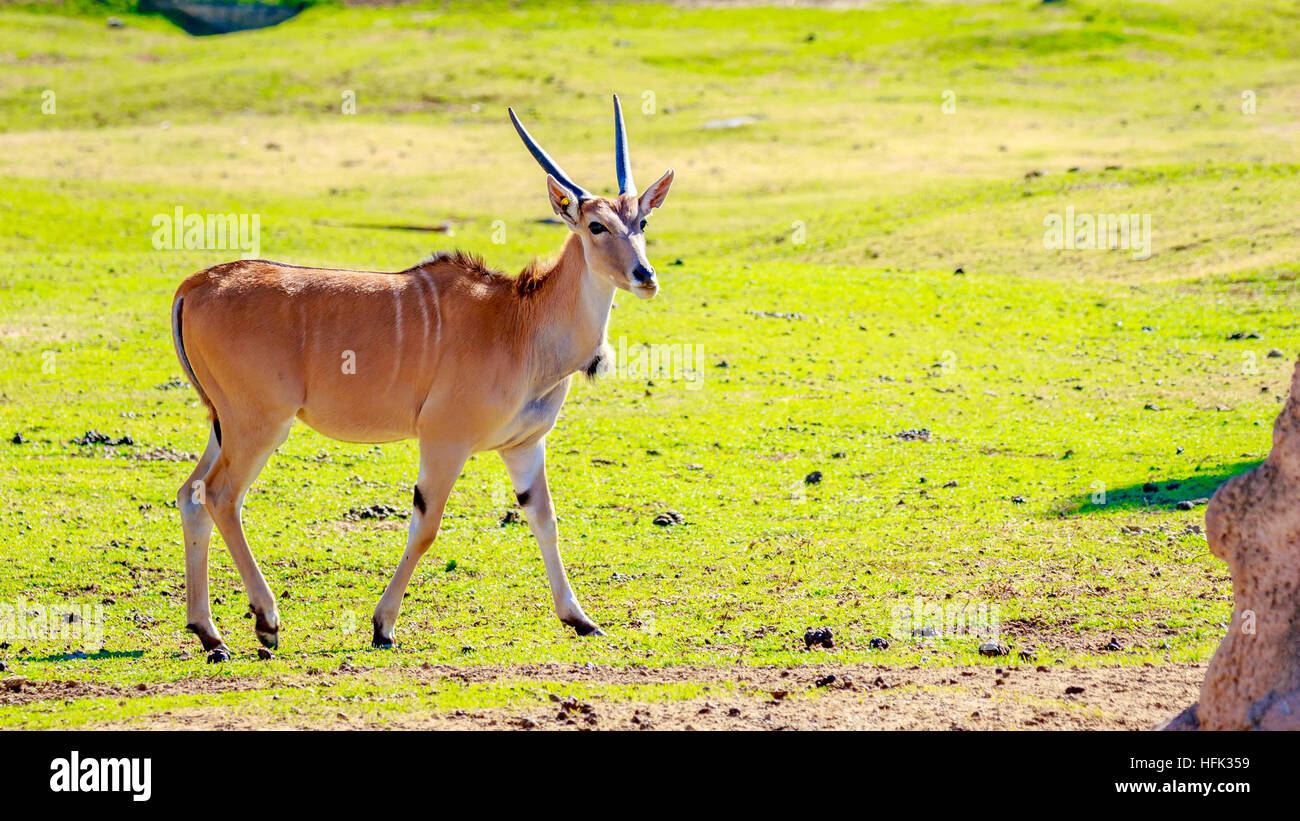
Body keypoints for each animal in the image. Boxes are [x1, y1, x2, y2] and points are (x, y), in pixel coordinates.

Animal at [170, 96, 674, 661]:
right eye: (595, 226)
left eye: (642, 221)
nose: (645, 276)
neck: (517, 321)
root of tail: (195, 285)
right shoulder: (443, 440)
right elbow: (427, 525)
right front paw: (383, 626)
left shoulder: (523, 446)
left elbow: (544, 519)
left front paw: (580, 618)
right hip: (258, 424)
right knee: (221, 496)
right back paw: (266, 621)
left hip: (224, 425)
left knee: (192, 494)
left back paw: (209, 633)